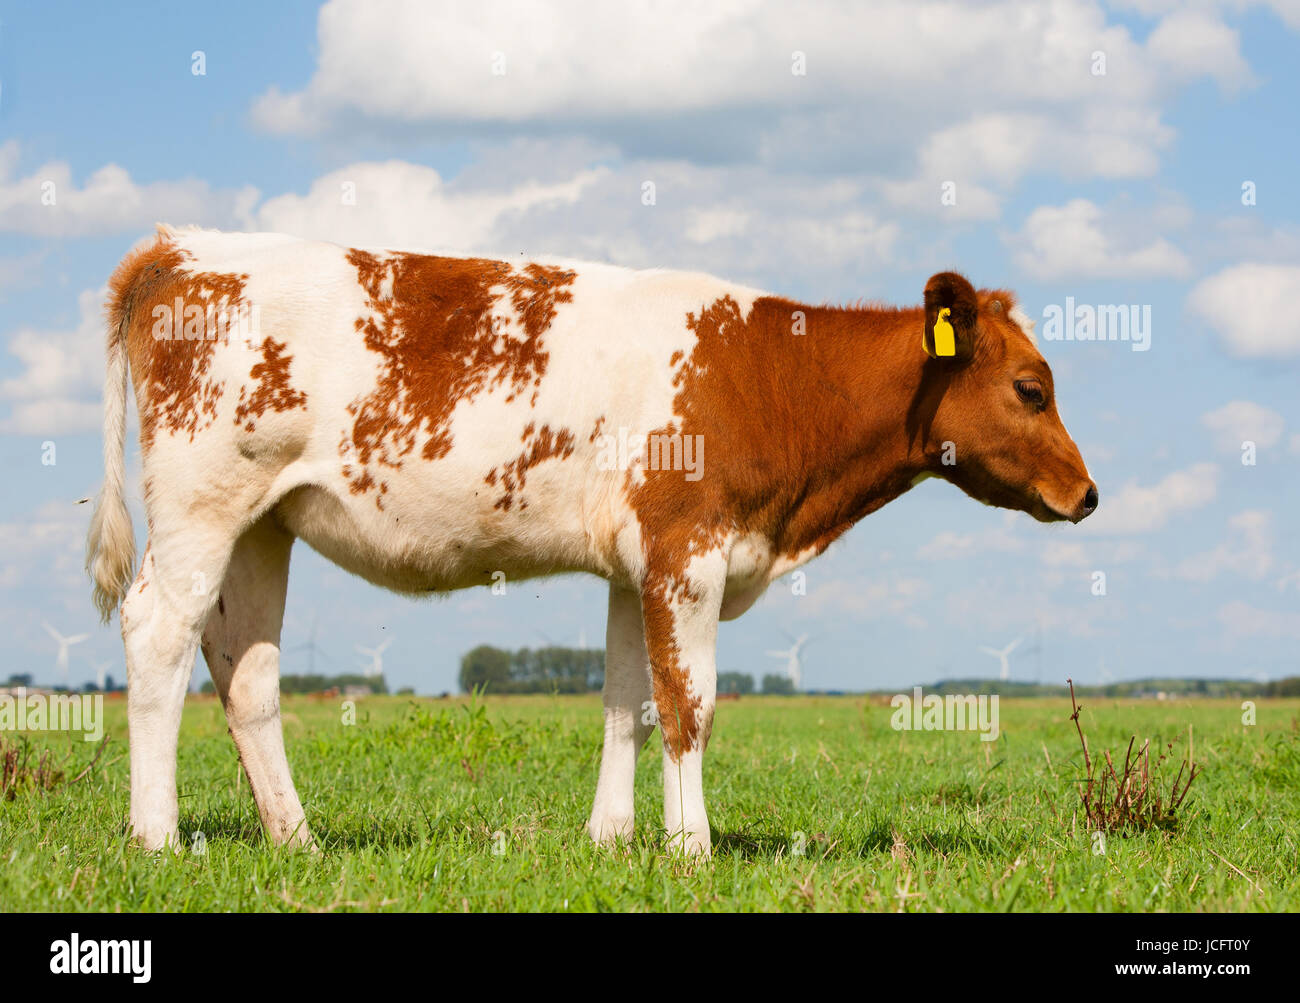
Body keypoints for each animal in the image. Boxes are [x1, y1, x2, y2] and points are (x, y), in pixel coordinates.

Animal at [86, 224, 1097, 856]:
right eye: (1031, 388)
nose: (1087, 494)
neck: (770, 374)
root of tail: (182, 248)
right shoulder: (688, 549)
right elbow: (690, 705)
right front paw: (691, 846)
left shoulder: (633, 565)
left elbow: (627, 702)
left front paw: (610, 838)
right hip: (202, 503)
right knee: (158, 634)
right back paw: (156, 835)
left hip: (264, 521)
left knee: (245, 668)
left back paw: (297, 839)